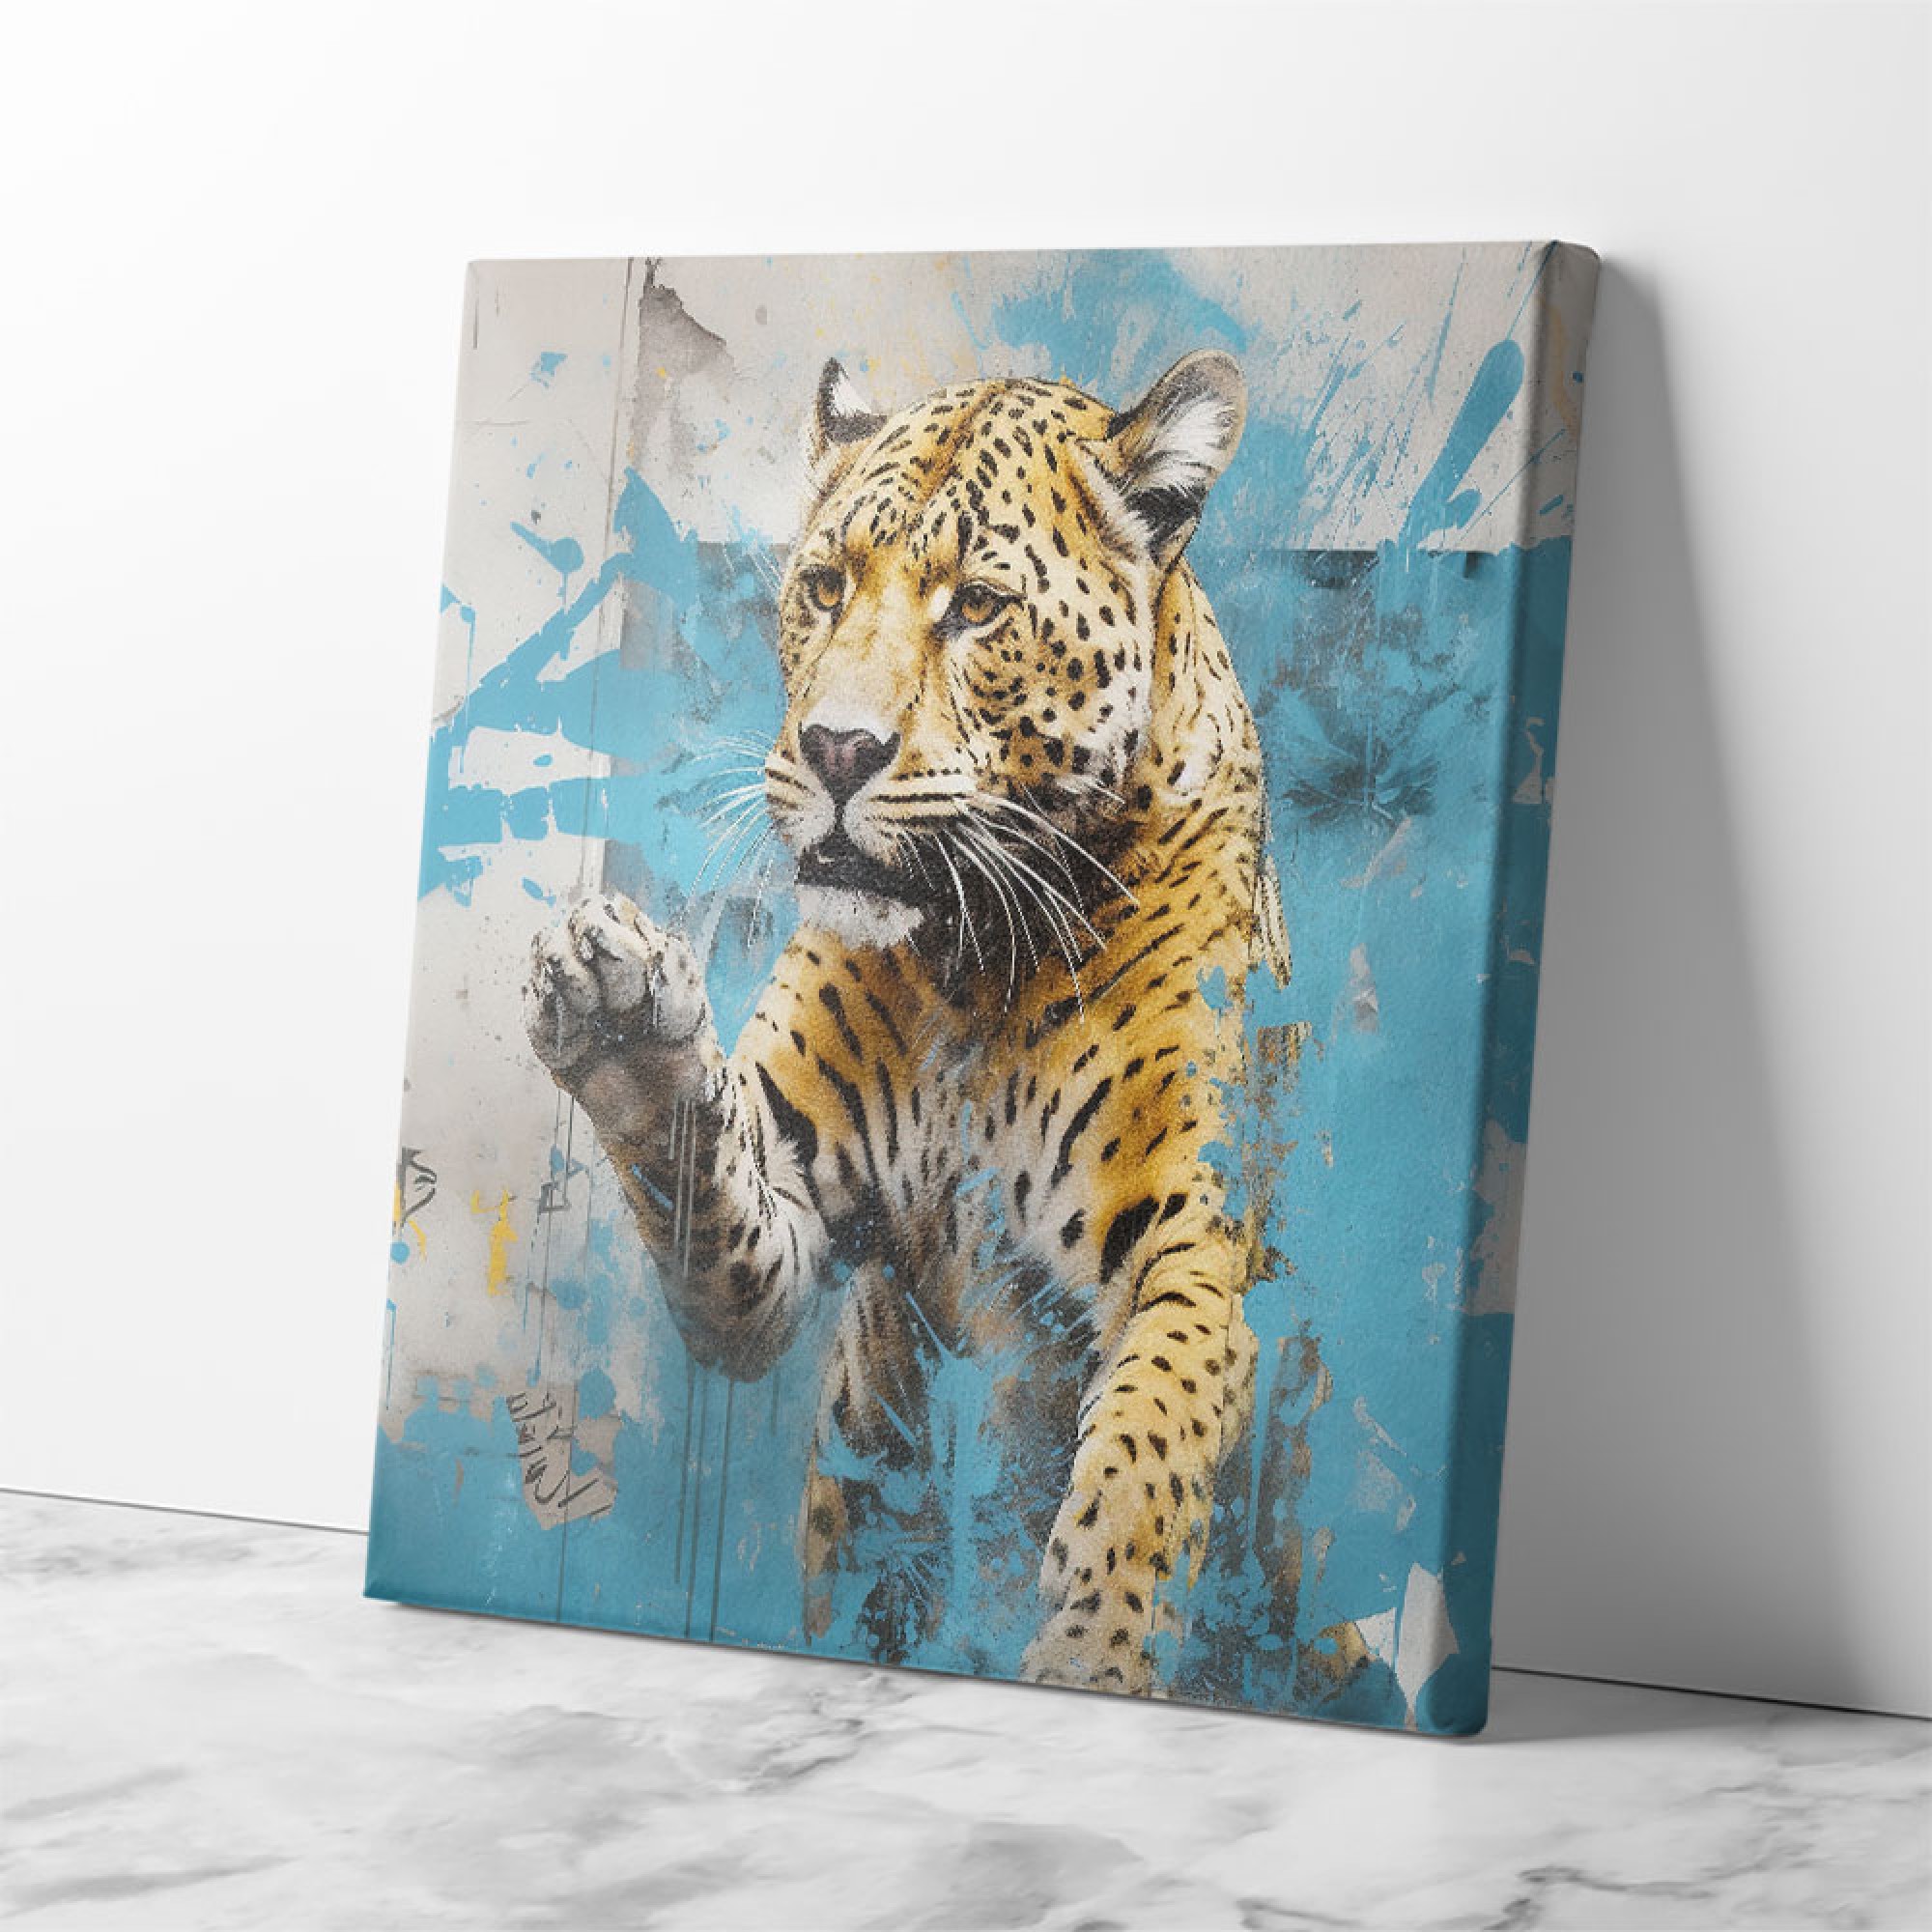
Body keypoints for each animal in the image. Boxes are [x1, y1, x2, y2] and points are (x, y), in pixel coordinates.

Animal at [524, 348, 1299, 1694]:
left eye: (977, 607)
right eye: (827, 584)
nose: (838, 748)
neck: (976, 954)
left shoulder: (1190, 1250)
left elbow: (1140, 1457)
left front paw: (1092, 1657)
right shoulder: (783, 1215)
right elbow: (705, 1174)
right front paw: (624, 1023)